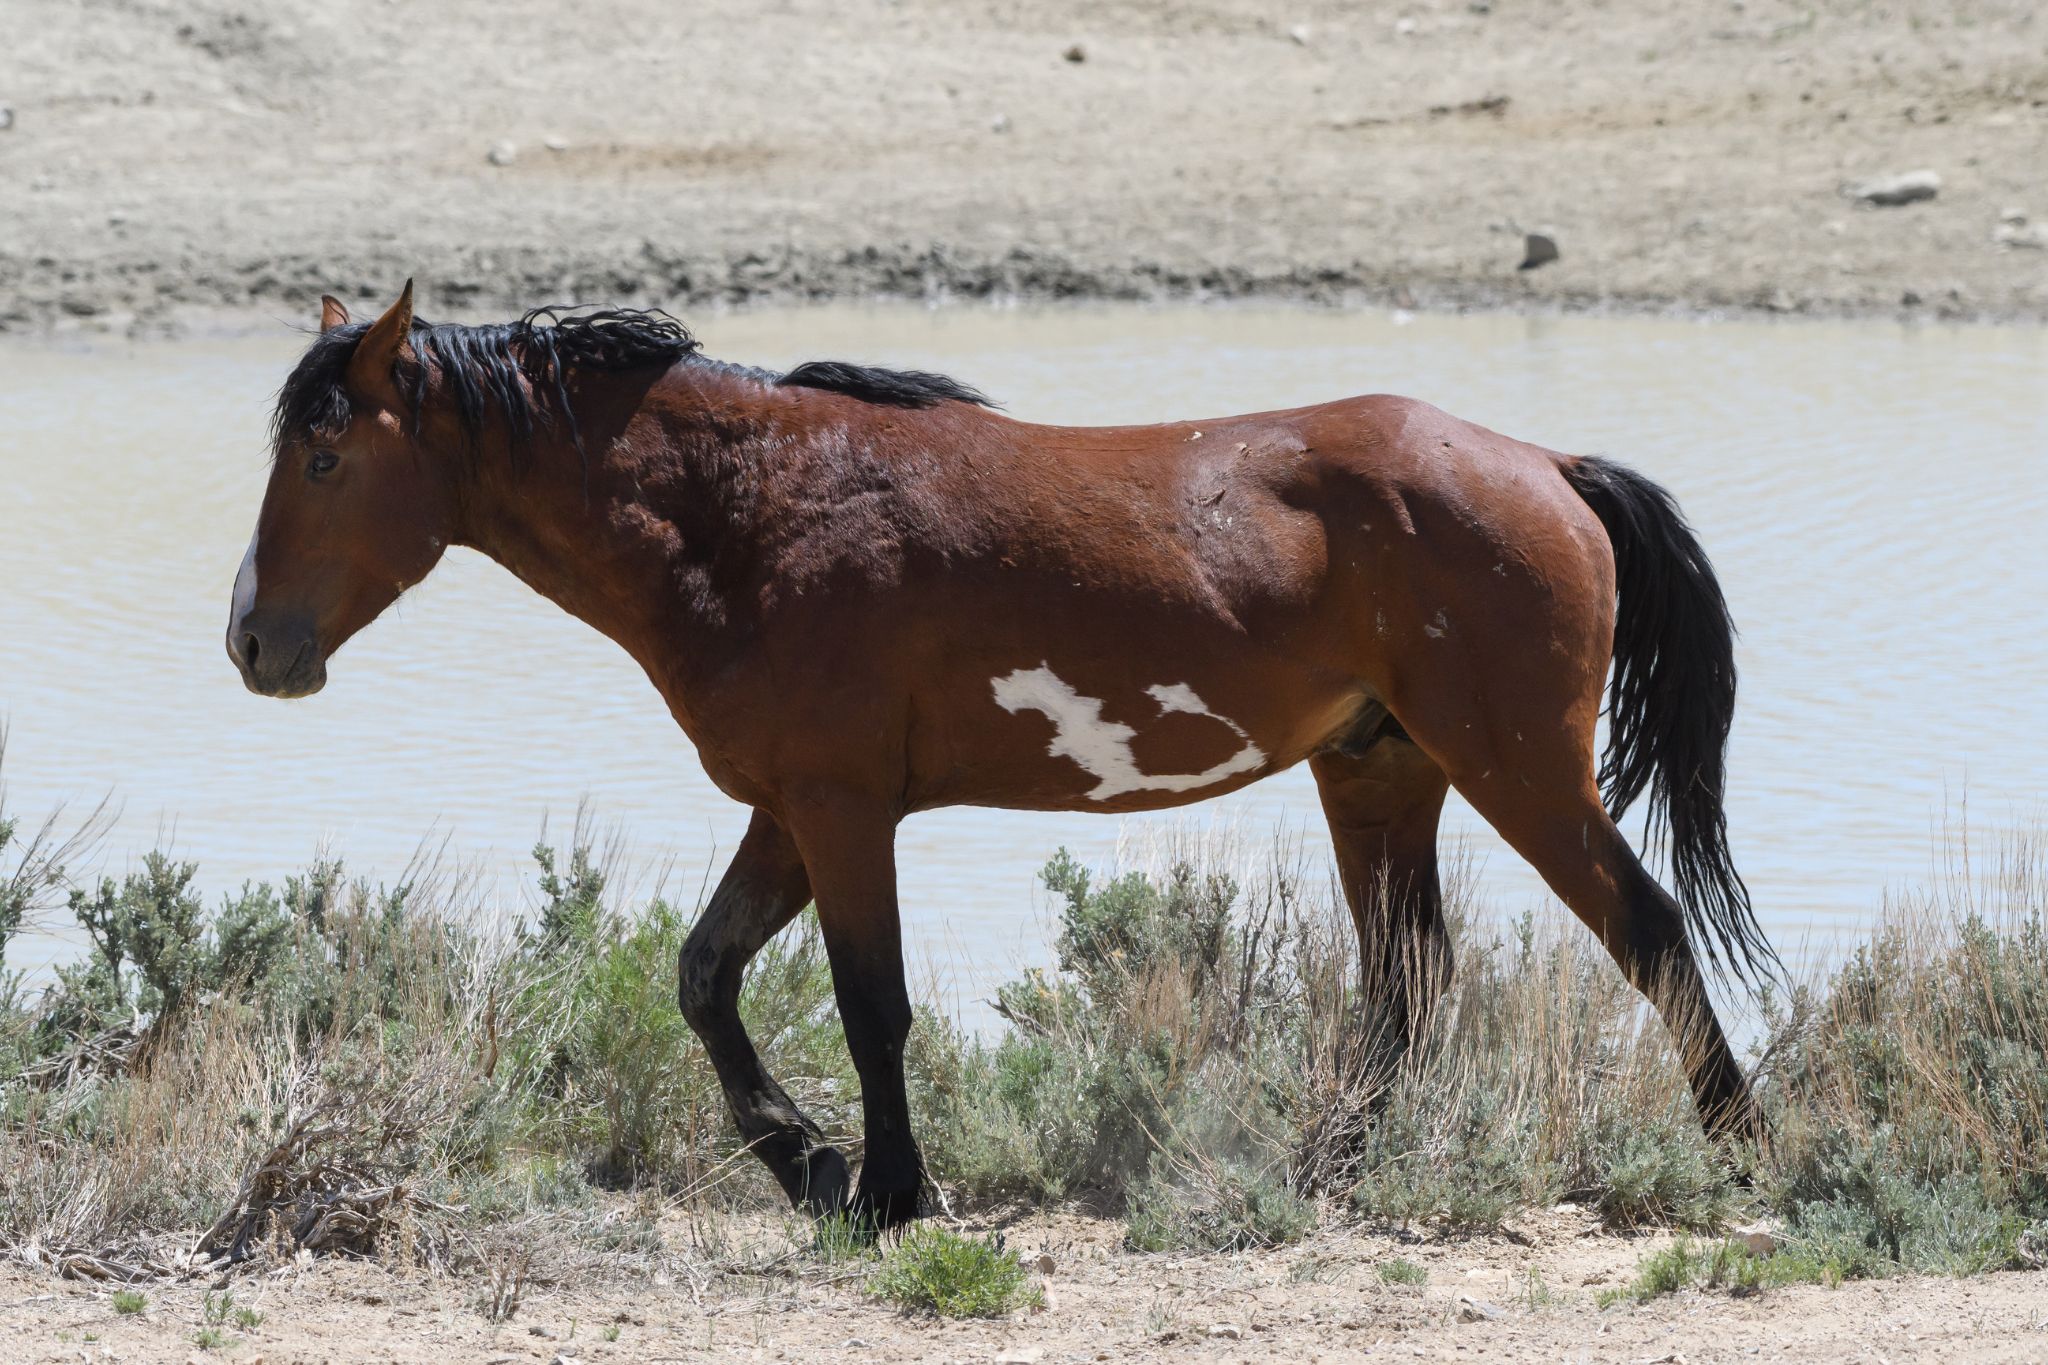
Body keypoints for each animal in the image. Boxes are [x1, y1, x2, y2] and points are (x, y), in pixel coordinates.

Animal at [228, 283, 1775, 1227]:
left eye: (324, 456)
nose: (252, 643)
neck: (755, 510)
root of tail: (1544, 466)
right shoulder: (789, 813)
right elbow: (706, 978)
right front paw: (808, 1163)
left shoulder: (843, 813)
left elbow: (872, 1006)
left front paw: (887, 1191)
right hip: (1381, 773)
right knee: (1405, 981)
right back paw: (1324, 1167)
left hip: (1518, 771)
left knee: (1643, 930)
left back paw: (1745, 1147)